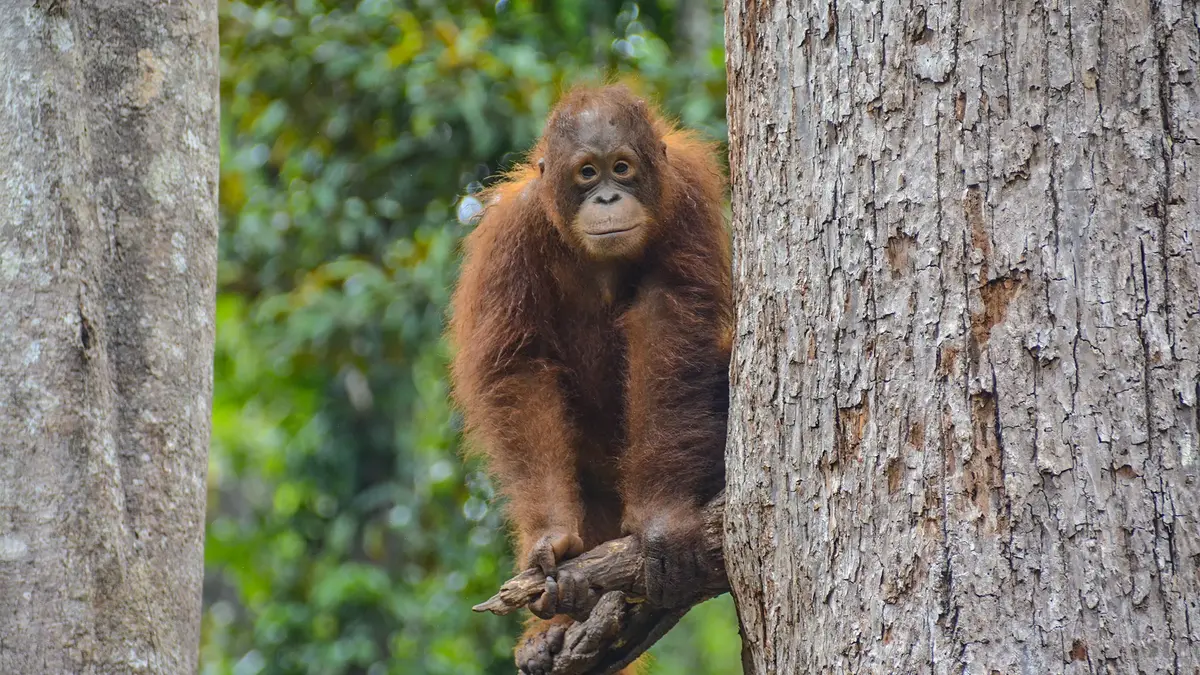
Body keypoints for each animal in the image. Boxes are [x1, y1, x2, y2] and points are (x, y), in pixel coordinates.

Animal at [448, 84, 731, 674]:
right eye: (586, 173)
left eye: (621, 168)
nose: (605, 199)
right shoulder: (509, 235)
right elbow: (517, 366)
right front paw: (553, 542)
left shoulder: (687, 200)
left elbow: (668, 317)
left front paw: (661, 521)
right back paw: (560, 624)